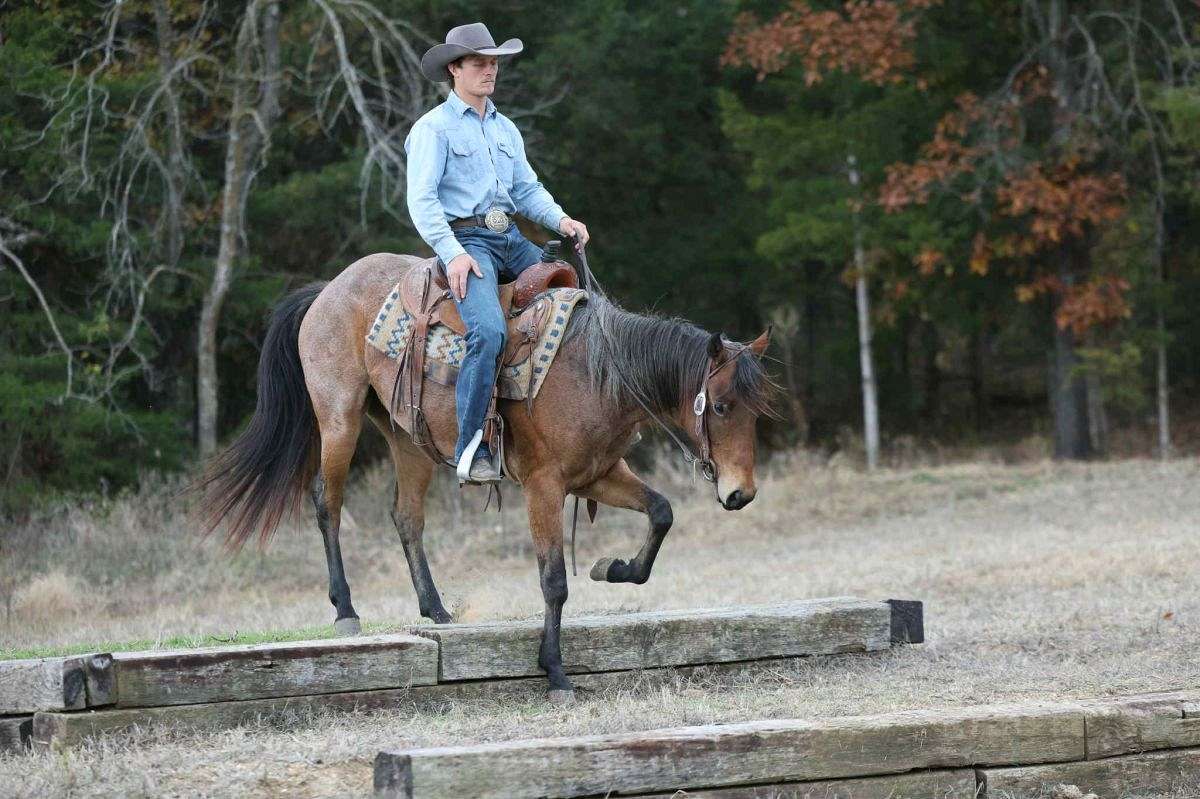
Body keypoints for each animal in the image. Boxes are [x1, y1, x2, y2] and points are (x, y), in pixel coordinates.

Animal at [200, 252, 774, 700]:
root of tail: (328, 289)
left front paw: (612, 568)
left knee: (406, 517)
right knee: (328, 502)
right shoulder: (544, 486)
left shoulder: (598, 474)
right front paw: (556, 672)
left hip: (408, 439)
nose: (740, 493)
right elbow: (553, 581)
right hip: (338, 416)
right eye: (720, 406)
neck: (596, 374)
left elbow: (660, 513)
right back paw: (345, 609)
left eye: (756, 412)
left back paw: (436, 610)